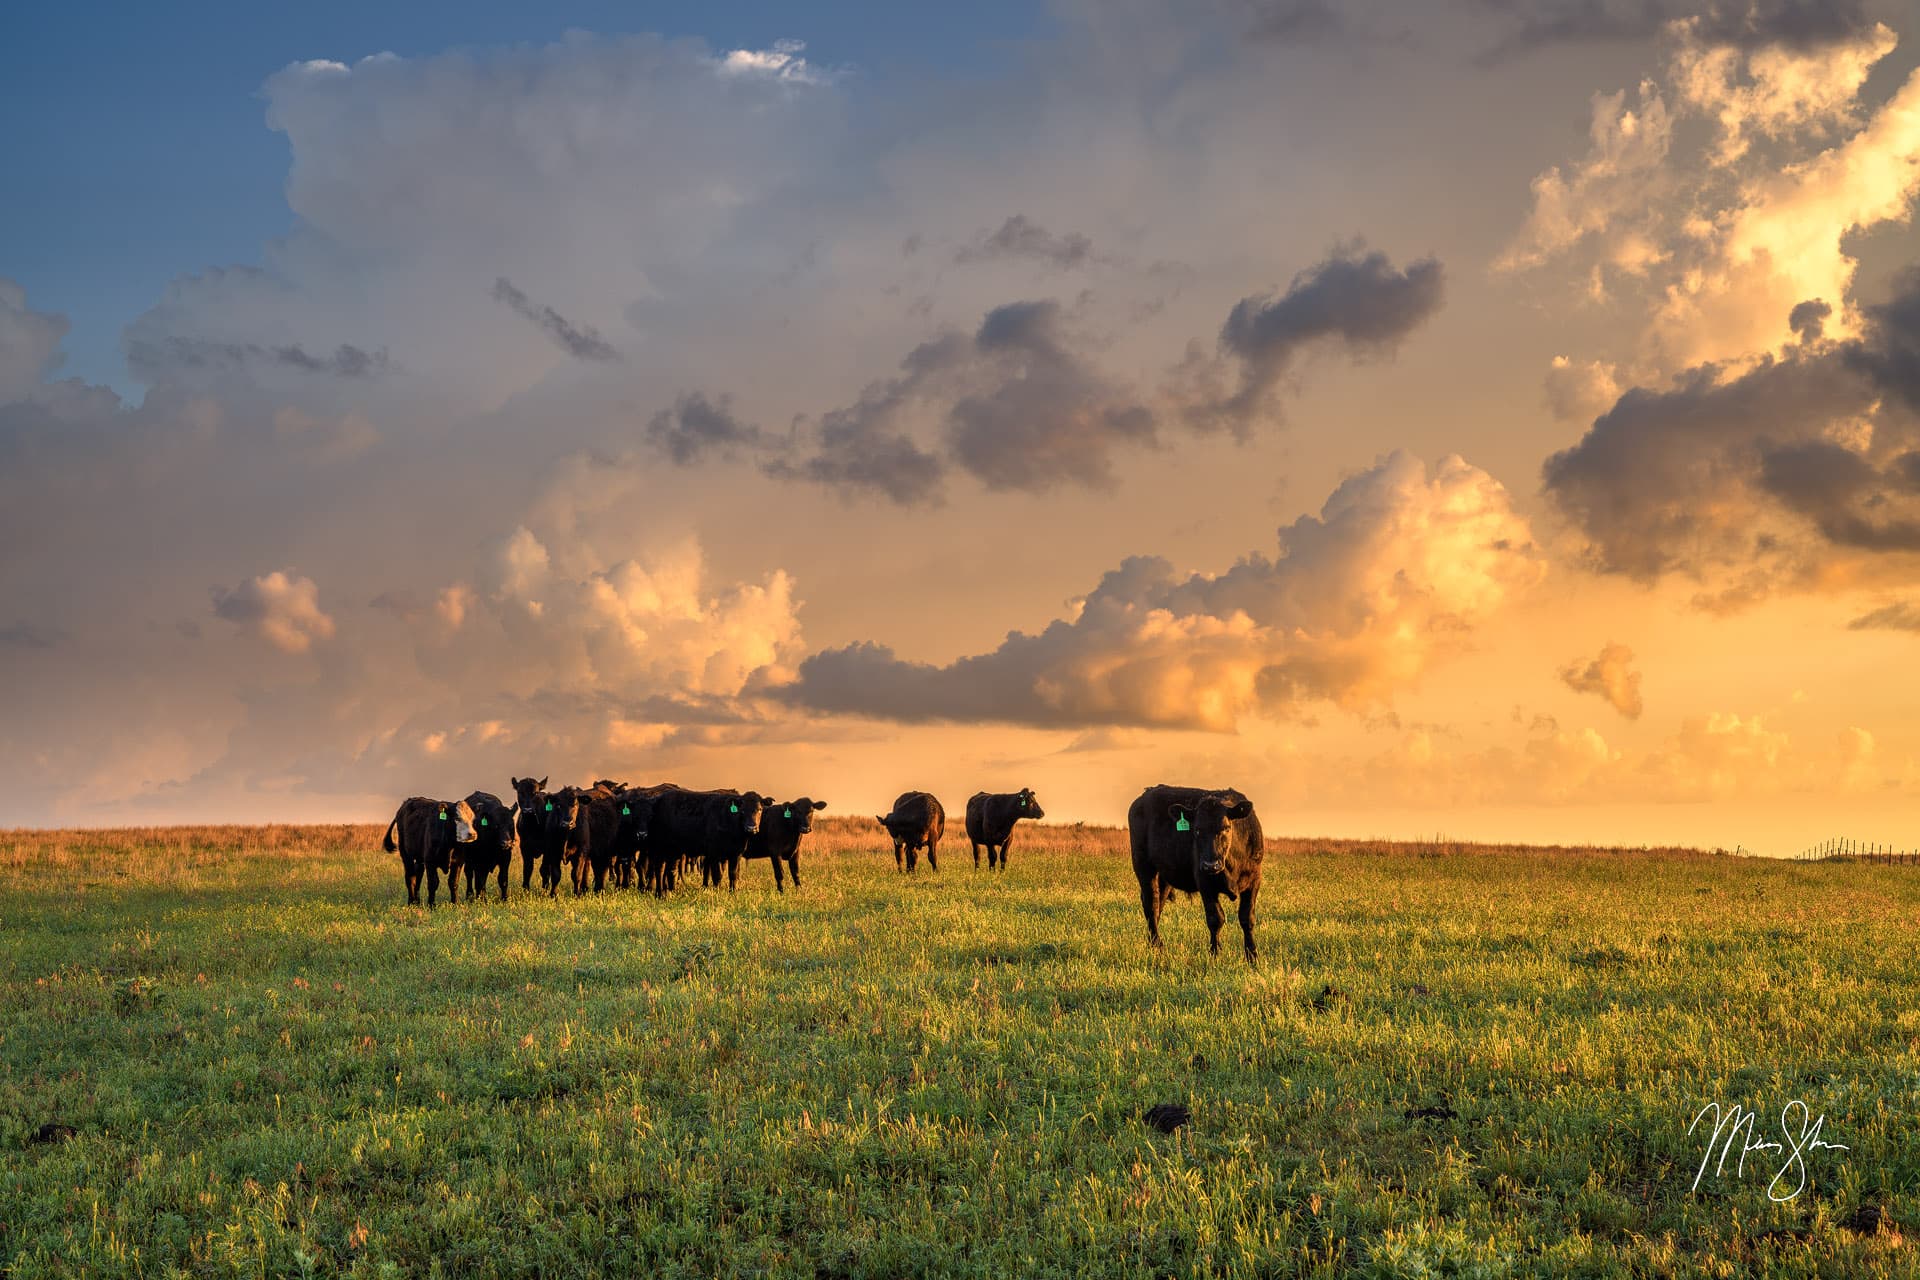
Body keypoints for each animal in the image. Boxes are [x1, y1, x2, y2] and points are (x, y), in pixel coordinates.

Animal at [1127, 784, 1264, 962]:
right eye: (1197, 830)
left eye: (1226, 828)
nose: (1210, 865)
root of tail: (1145, 794)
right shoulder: (1204, 882)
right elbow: (1215, 918)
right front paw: (1215, 953)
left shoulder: (1254, 880)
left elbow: (1247, 917)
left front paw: (1252, 956)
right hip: (1143, 866)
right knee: (1151, 904)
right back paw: (1158, 946)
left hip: (1165, 876)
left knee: (1158, 905)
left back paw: (1153, 943)